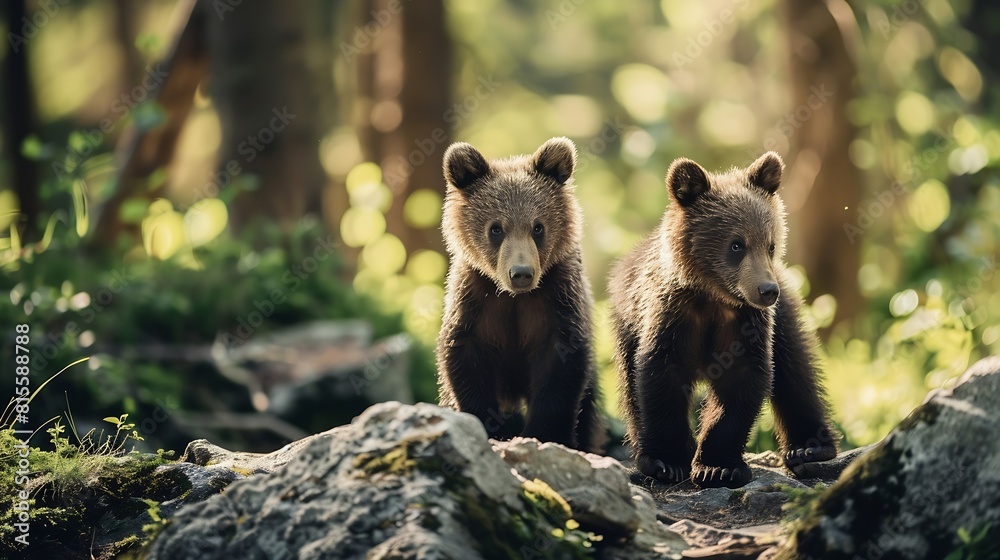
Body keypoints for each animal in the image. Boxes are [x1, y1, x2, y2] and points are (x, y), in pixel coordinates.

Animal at [435, 137, 603, 453]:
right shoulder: (475, 300)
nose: (521, 273)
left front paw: (545, 434)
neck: (514, 297)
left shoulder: (557, 299)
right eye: (496, 228)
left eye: (538, 227)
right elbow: (465, 359)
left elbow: (560, 370)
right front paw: (487, 428)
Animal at [609, 152, 838, 488]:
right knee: (631, 386)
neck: (714, 297)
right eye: (736, 244)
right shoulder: (672, 315)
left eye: (770, 244)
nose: (767, 290)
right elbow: (661, 374)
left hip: (783, 318)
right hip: (627, 323)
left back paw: (810, 448)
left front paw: (718, 467)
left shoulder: (747, 323)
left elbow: (741, 381)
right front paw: (667, 461)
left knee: (794, 369)